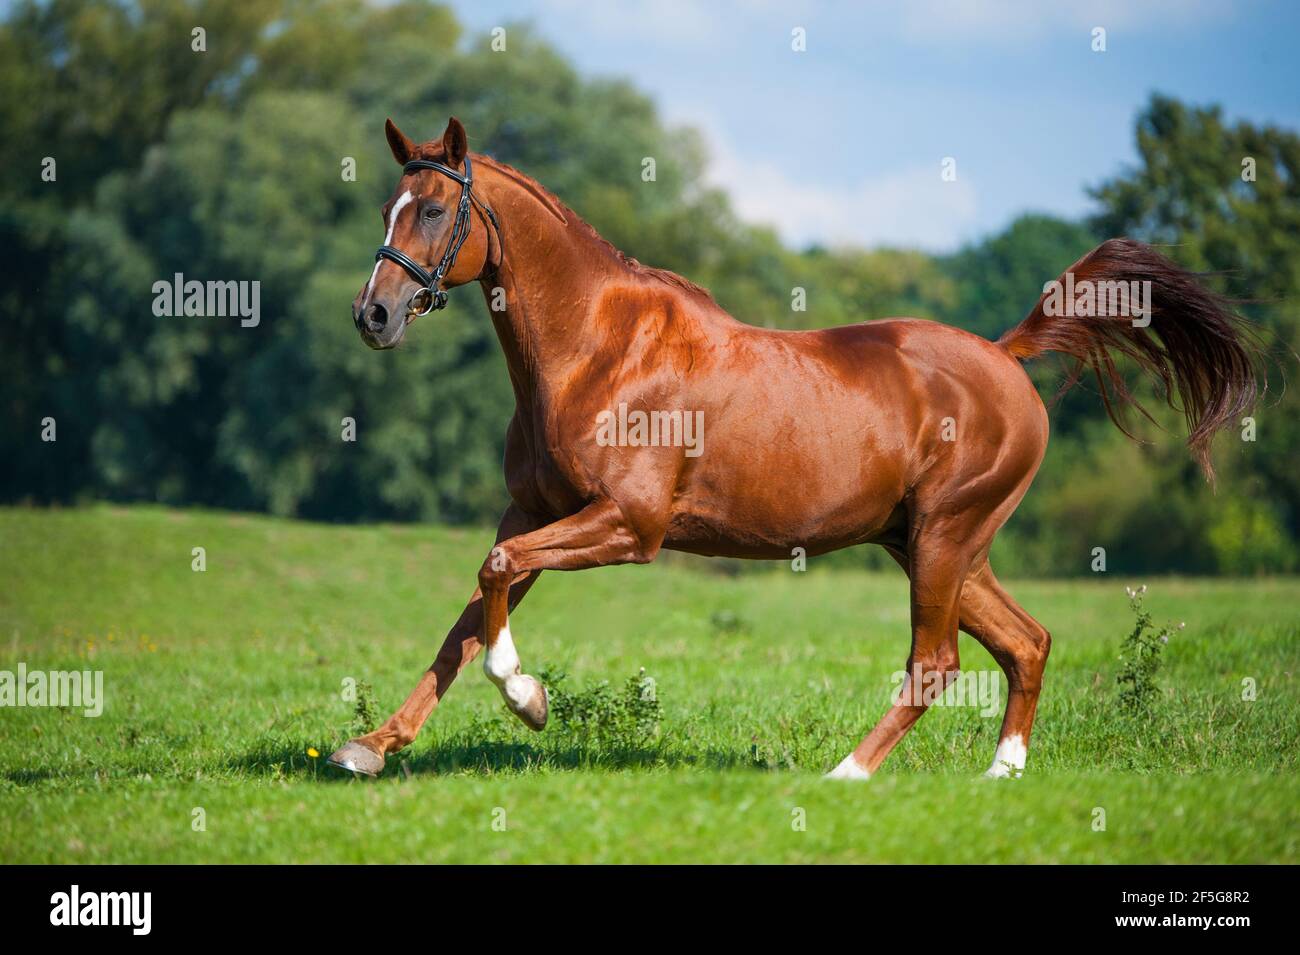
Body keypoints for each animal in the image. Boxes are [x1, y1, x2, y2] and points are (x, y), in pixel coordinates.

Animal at [329, 117, 1258, 780]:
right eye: (386, 210)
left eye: (435, 209)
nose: (373, 315)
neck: (594, 349)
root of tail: (1006, 356)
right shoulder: (532, 510)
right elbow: (465, 623)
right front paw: (370, 746)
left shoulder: (628, 524)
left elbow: (492, 586)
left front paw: (528, 699)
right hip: (937, 545)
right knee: (1026, 642)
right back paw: (1001, 773)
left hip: (944, 539)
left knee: (937, 661)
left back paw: (846, 773)